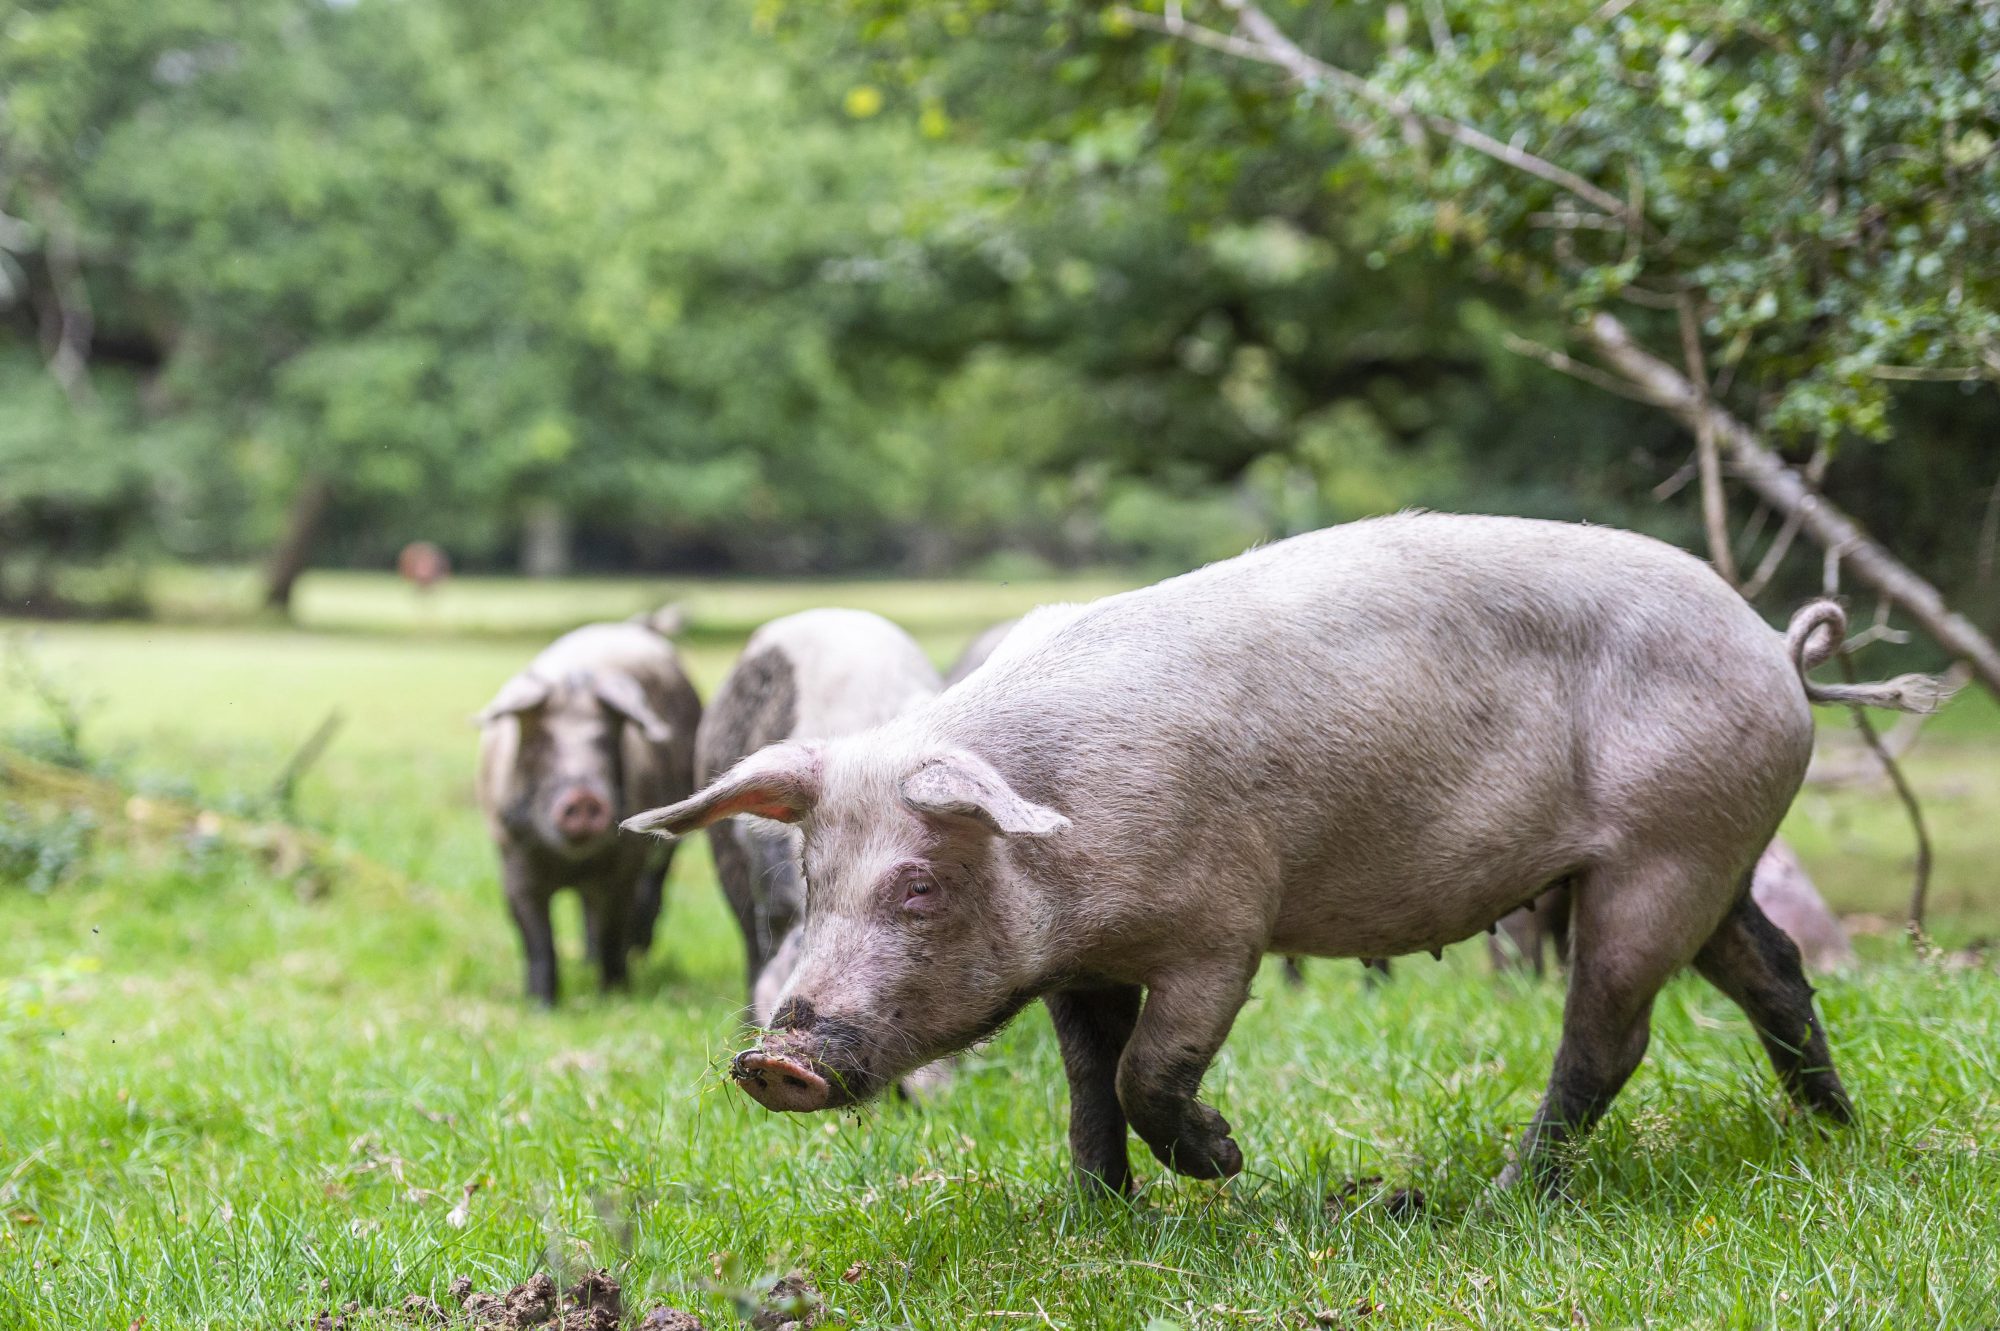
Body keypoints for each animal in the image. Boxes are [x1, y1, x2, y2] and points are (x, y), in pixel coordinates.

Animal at [477, 615, 702, 1005]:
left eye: (605, 743)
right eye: (541, 744)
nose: (584, 797)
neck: (570, 863)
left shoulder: (626, 865)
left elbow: (614, 928)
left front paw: (614, 997)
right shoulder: (511, 857)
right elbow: (537, 939)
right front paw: (541, 1006)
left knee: (653, 889)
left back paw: (636, 951)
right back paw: (585, 961)